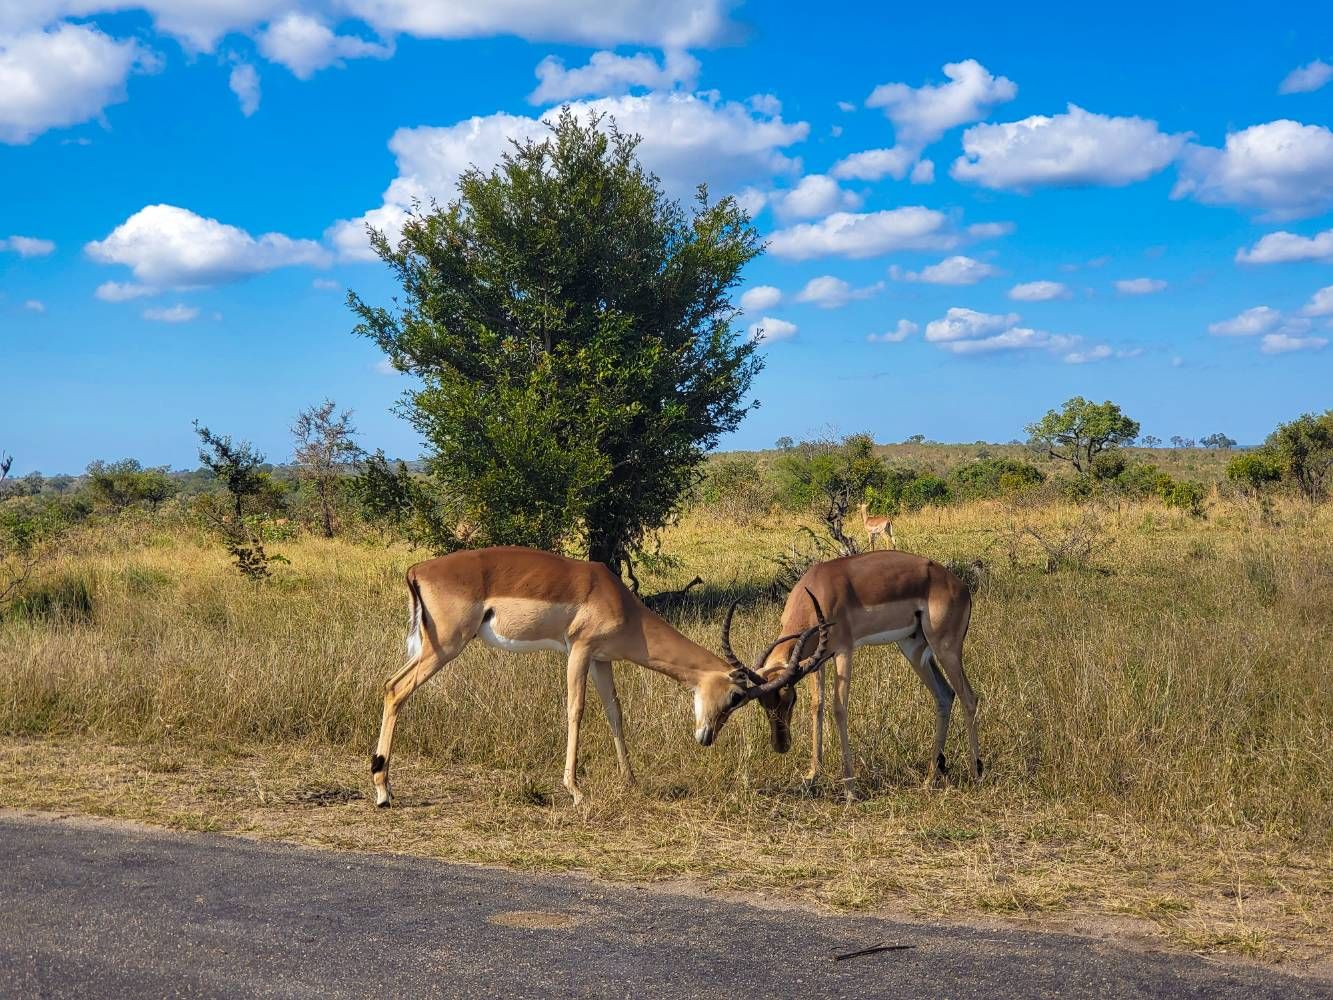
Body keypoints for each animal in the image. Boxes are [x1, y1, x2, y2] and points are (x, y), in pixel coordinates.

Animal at [372, 546, 830, 807]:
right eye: (737, 696)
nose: (706, 737)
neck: (618, 599)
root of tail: (417, 570)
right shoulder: (579, 651)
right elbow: (576, 710)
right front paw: (575, 791)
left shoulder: (602, 660)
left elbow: (615, 712)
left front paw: (632, 782)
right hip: (447, 645)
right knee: (396, 689)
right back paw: (383, 792)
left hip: (434, 646)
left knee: (388, 684)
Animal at [743, 550, 979, 800]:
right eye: (763, 702)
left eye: (790, 700)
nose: (781, 746)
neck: (817, 589)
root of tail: (960, 585)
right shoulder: (816, 663)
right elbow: (817, 706)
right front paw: (811, 776)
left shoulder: (844, 651)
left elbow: (839, 708)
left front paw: (850, 789)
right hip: (913, 649)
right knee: (945, 695)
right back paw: (929, 780)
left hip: (946, 649)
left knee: (969, 698)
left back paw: (976, 773)